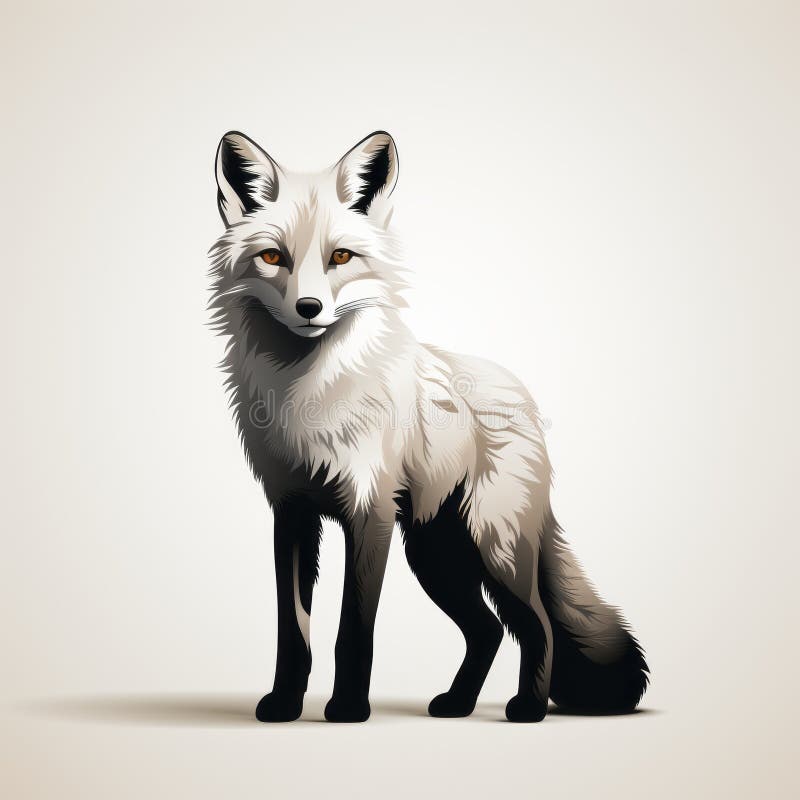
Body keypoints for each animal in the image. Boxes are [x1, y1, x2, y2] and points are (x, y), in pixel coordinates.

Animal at [208, 130, 648, 723]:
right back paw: (458, 703)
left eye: (340, 256)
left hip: (492, 547)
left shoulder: (368, 511)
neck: (310, 396)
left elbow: (353, 631)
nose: (309, 307)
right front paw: (283, 703)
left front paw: (349, 708)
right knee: (488, 631)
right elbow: (293, 632)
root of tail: (524, 397)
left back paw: (528, 708)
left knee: (539, 625)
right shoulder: (293, 510)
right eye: (273, 257)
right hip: (436, 553)